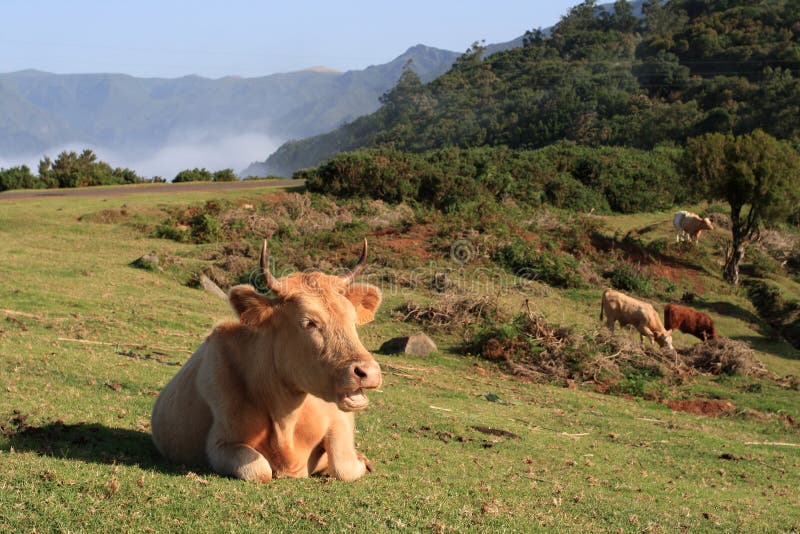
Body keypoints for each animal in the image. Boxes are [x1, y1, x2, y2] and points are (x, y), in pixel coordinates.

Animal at [151, 239, 383, 483]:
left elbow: (343, 466)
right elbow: (260, 470)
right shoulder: (220, 442)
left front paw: (361, 463)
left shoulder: (338, 420)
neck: (285, 419)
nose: (369, 372)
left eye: (353, 319)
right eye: (308, 322)